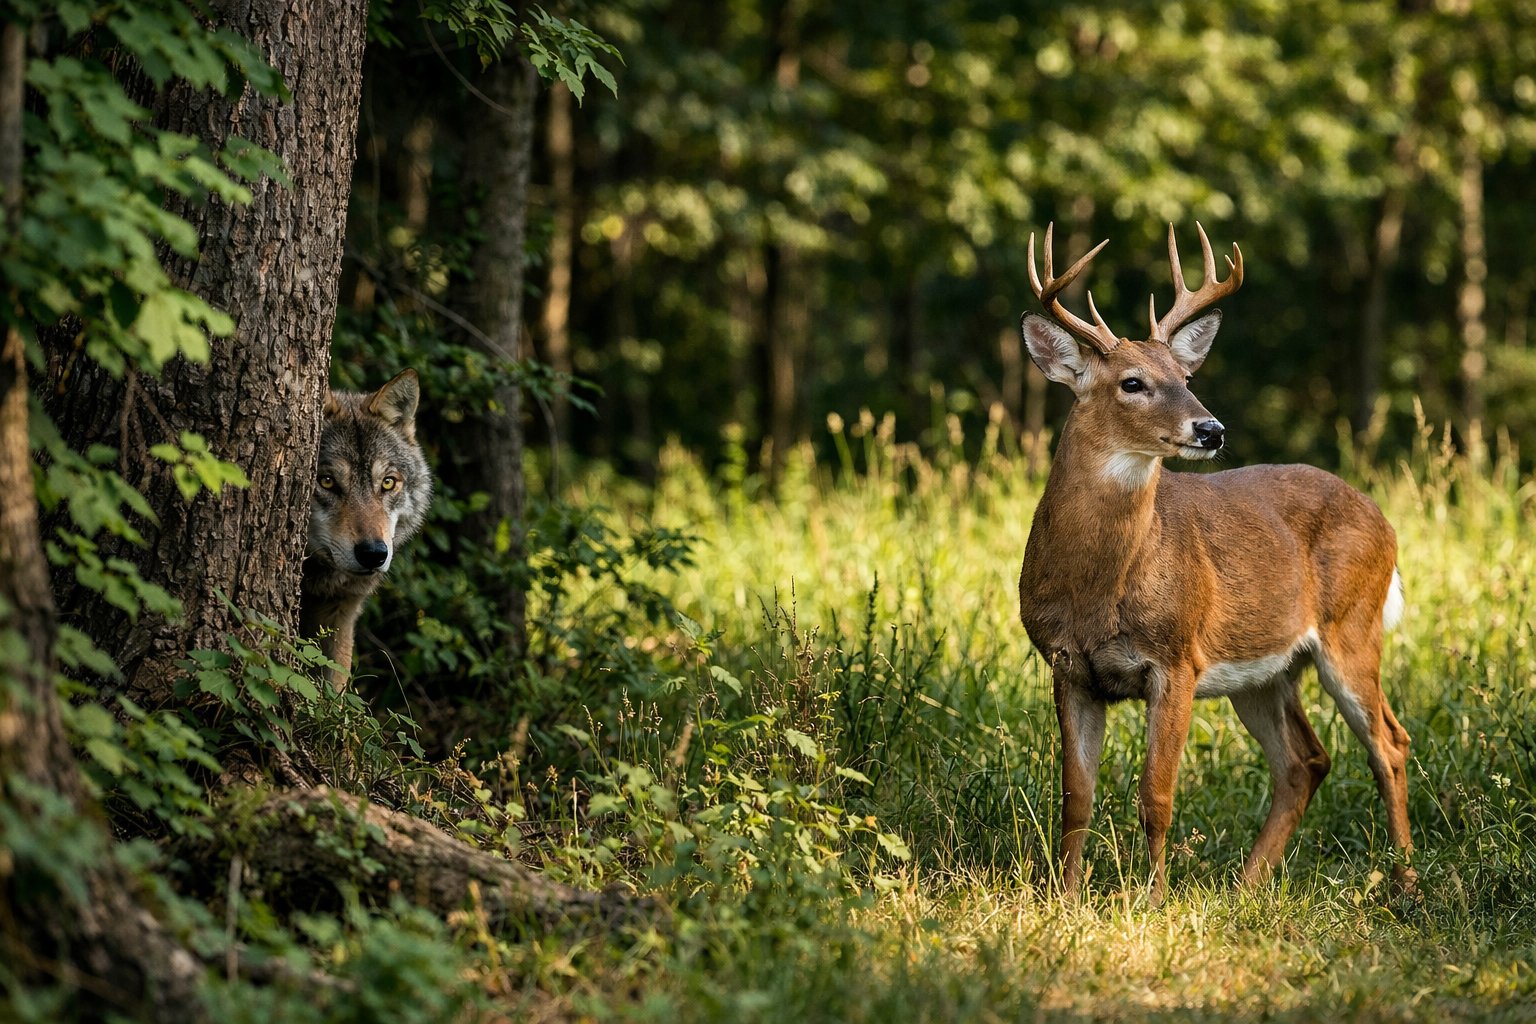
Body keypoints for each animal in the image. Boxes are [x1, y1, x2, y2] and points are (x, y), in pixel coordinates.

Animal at [1017, 223, 1415, 905]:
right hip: (1265, 672)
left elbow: (1156, 795)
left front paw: (1153, 901)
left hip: (1352, 629)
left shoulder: (1176, 659)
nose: (1211, 429)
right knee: (1305, 760)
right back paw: (1246, 886)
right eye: (1132, 382)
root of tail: (1383, 519)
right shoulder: (1068, 667)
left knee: (1389, 743)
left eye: (1185, 373)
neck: (1094, 589)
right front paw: (1063, 900)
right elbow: (1075, 798)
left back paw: (1407, 881)